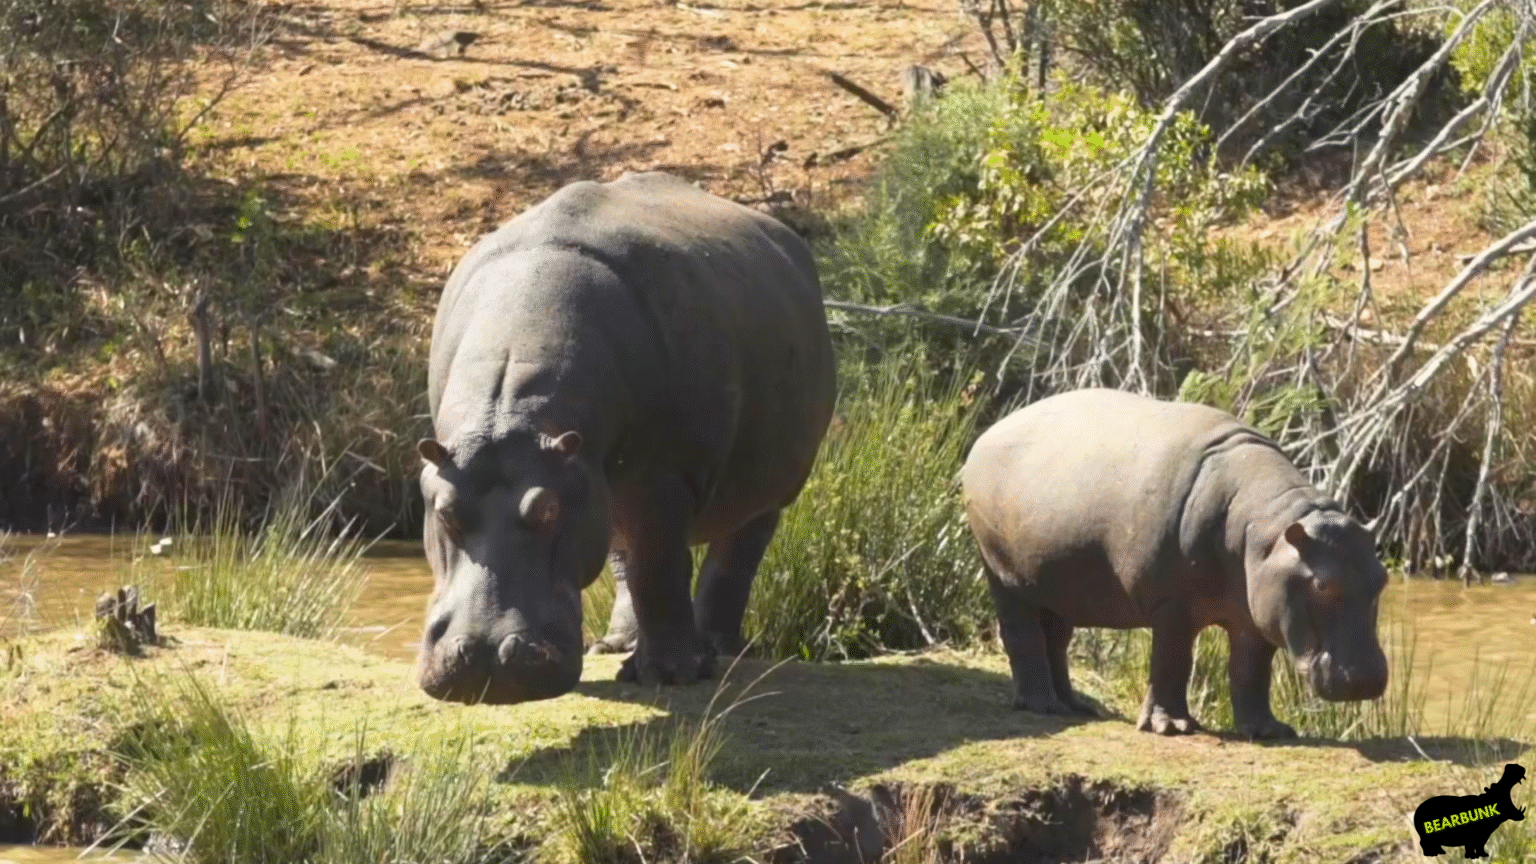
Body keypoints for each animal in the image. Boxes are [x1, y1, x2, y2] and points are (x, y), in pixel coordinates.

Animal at [415, 171, 837, 705]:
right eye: (444, 510)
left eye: (548, 508)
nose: (487, 655)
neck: (507, 417)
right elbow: (637, 568)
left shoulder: (663, 479)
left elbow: (658, 570)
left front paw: (669, 675)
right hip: (609, 491)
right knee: (623, 558)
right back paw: (613, 645)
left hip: (770, 485)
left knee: (735, 555)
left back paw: (714, 648)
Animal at [959, 388, 1389, 738]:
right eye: (1321, 585)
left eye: (1381, 579)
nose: (1367, 679)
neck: (1266, 528)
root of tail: (985, 436)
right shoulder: (1173, 605)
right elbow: (1172, 661)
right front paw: (1170, 727)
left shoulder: (1254, 615)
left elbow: (1251, 672)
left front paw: (1269, 730)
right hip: (1004, 575)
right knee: (1023, 634)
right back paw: (1042, 706)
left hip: (1057, 585)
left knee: (1056, 640)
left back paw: (1076, 706)